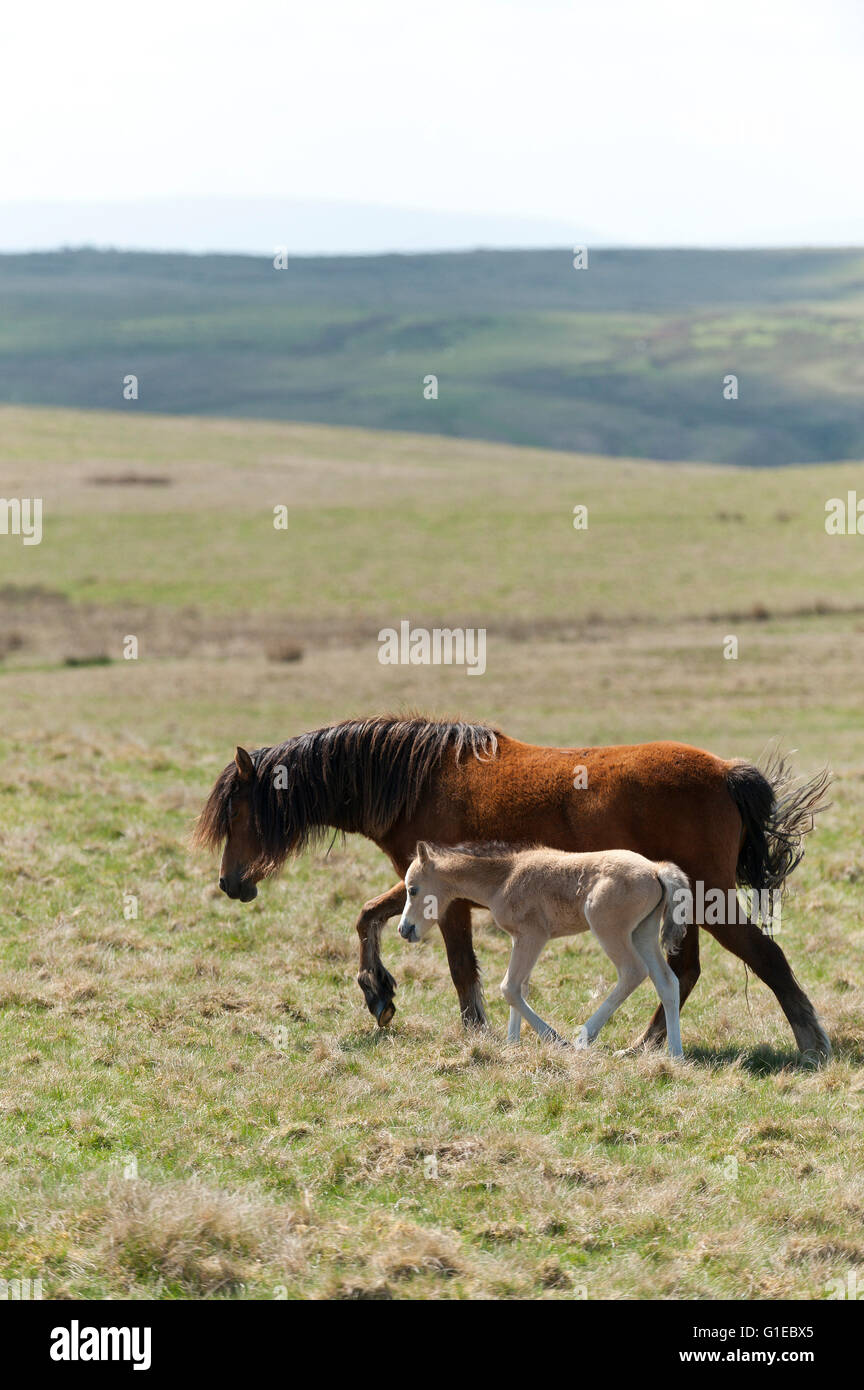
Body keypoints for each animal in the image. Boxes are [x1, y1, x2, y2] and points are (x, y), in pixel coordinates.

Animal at [398, 841, 690, 1057]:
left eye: (413, 889)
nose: (404, 930)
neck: (503, 878)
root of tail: (655, 869)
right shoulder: (520, 939)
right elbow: (520, 987)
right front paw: (512, 1044)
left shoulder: (533, 936)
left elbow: (509, 987)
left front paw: (554, 1039)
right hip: (643, 932)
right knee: (667, 981)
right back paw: (675, 1054)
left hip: (609, 930)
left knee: (632, 972)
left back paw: (582, 1038)